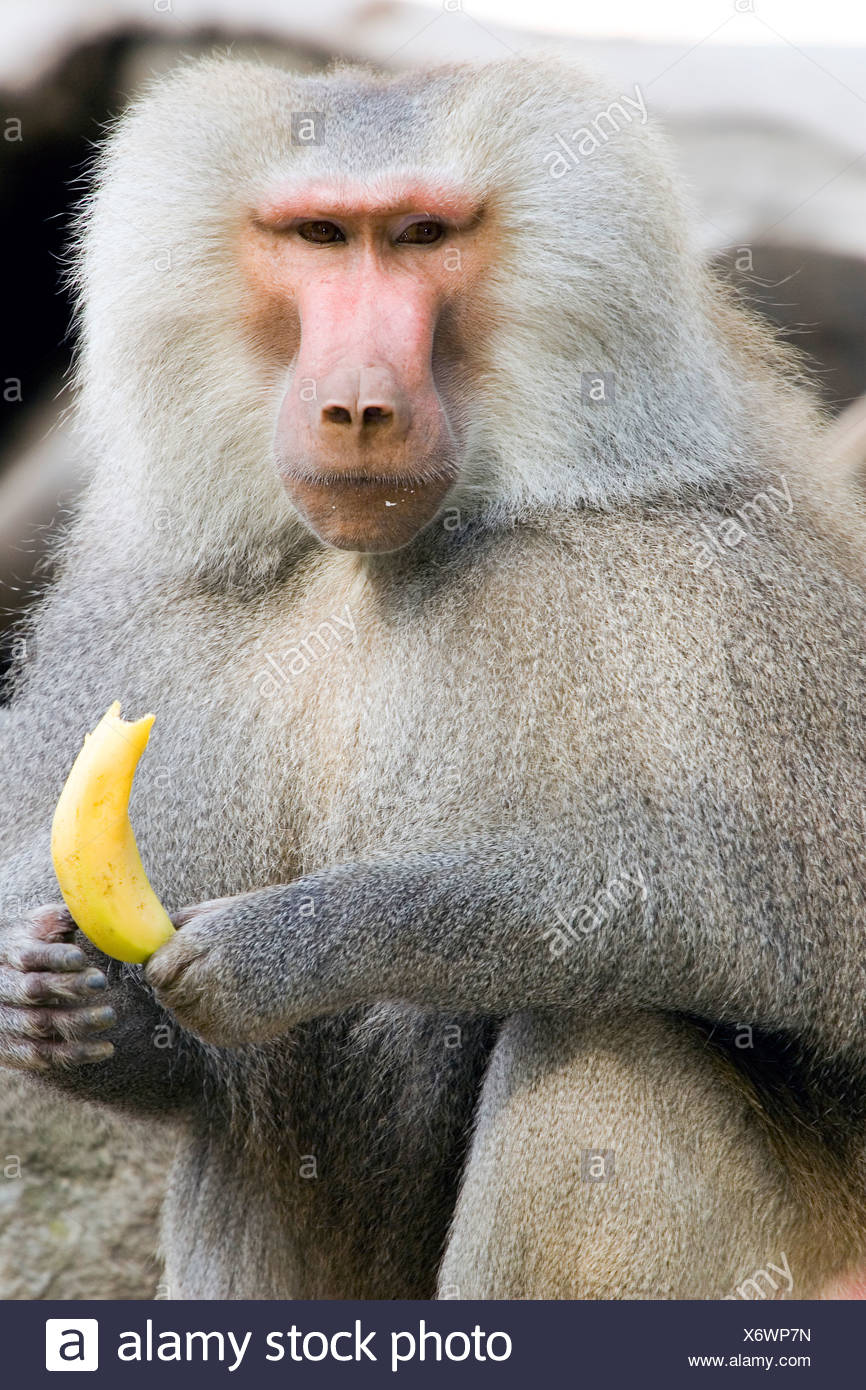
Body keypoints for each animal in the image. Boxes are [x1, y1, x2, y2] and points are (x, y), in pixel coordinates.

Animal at [1, 51, 866, 1301]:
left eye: (418, 235)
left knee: (607, 1039)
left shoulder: (713, 604)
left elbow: (730, 925)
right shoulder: (155, 612)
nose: (356, 407)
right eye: (319, 235)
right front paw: (73, 1012)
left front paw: (290, 942)